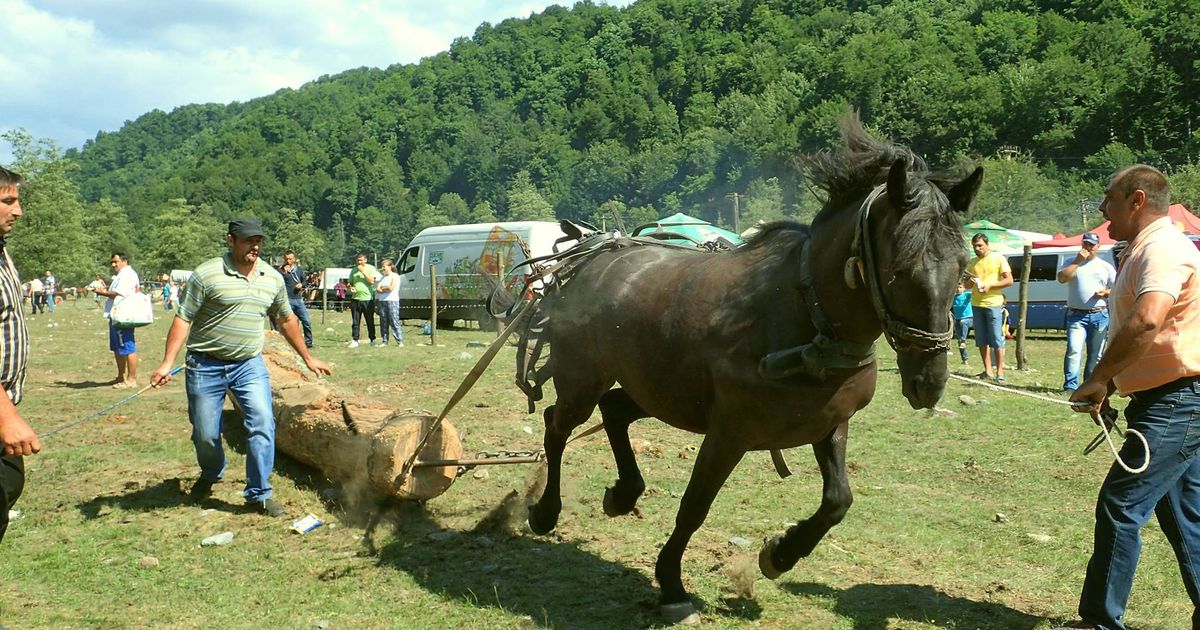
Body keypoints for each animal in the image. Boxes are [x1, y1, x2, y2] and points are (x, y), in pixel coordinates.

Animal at [523, 115, 984, 624]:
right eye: (900, 270)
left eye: (963, 265)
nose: (930, 382)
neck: (807, 315)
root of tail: (592, 259)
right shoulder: (729, 432)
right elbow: (695, 506)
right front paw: (672, 585)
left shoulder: (828, 422)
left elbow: (838, 500)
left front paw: (781, 553)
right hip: (582, 381)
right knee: (558, 426)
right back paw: (545, 511)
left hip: (658, 390)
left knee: (615, 409)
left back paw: (624, 492)